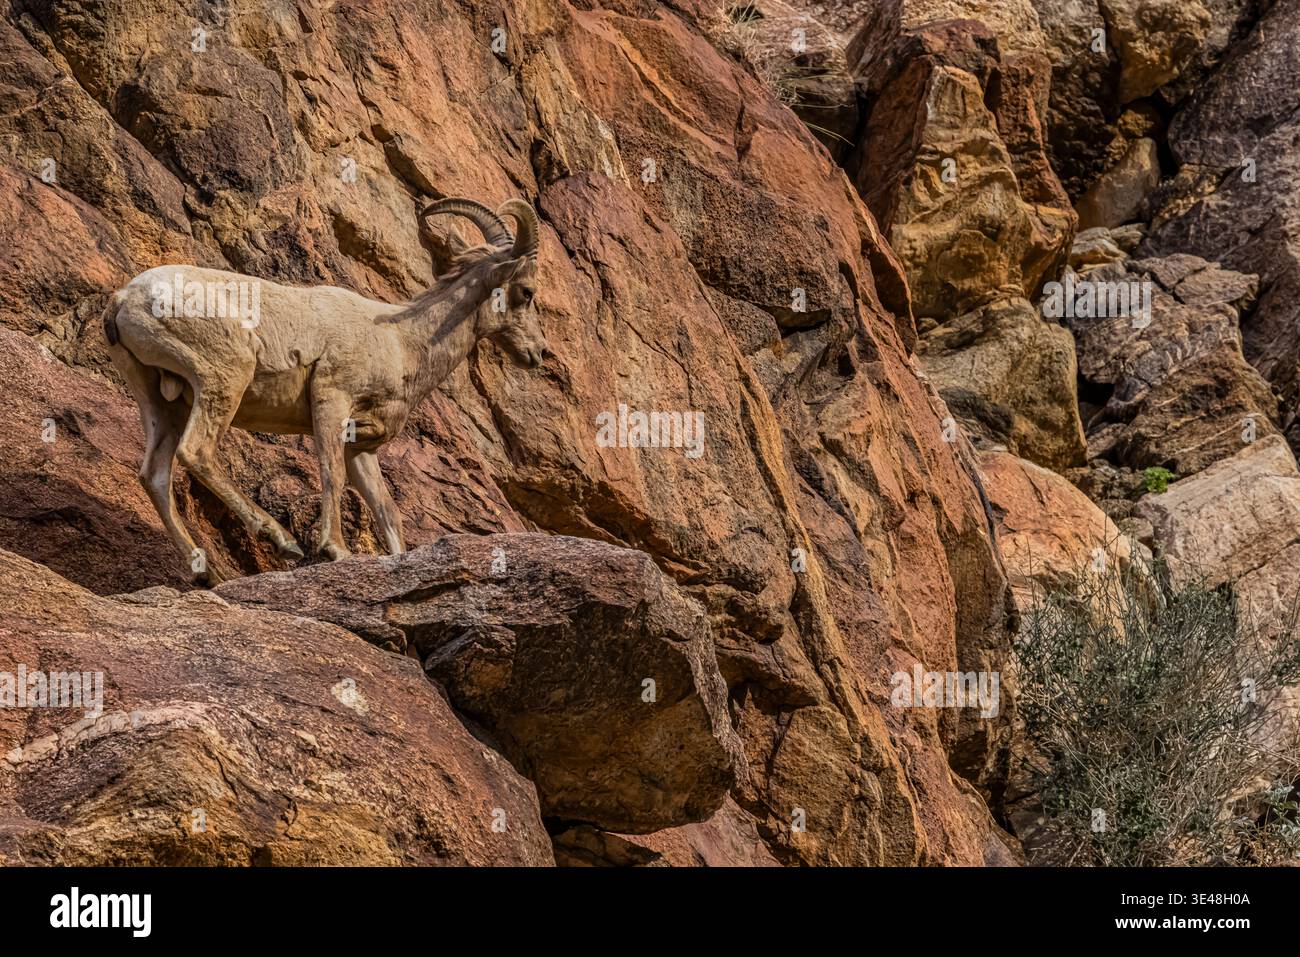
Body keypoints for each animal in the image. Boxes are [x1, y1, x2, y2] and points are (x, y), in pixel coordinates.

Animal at [104, 197, 548, 585]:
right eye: (526, 291)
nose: (538, 352)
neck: (403, 340)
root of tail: (124, 298)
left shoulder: (362, 447)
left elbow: (386, 511)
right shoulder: (332, 400)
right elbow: (331, 473)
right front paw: (336, 550)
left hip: (161, 400)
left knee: (156, 474)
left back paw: (207, 575)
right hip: (224, 377)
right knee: (197, 451)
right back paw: (280, 540)